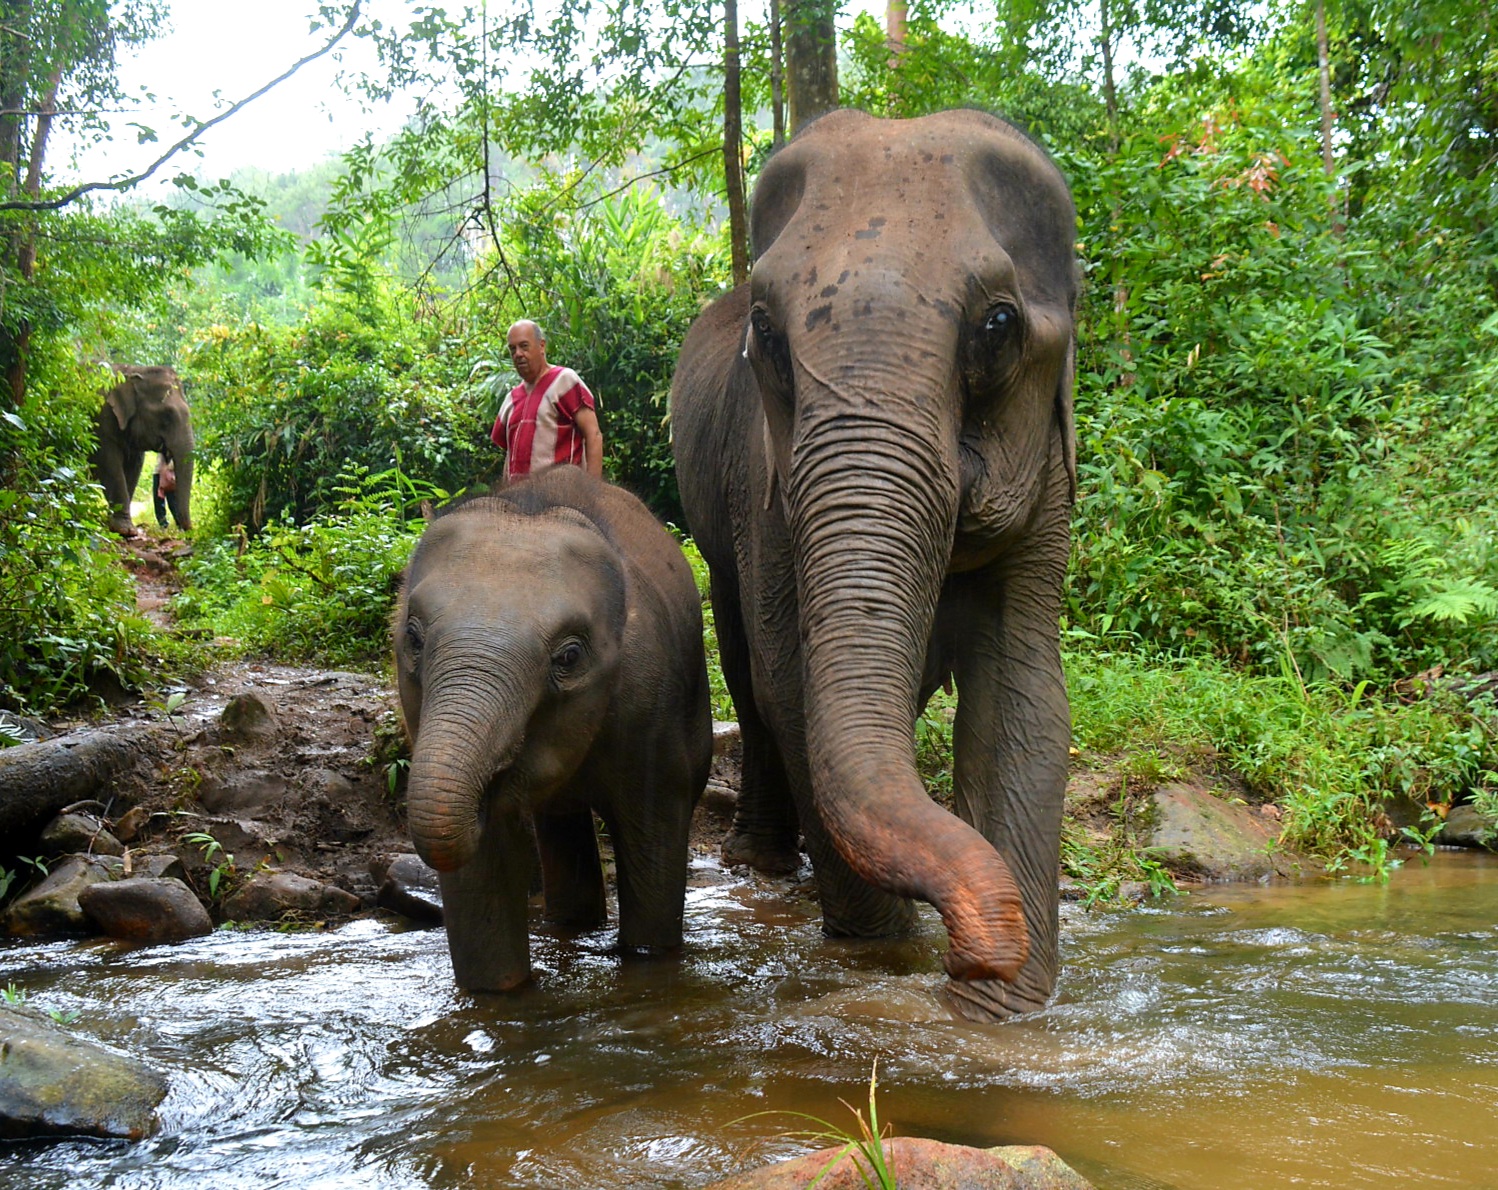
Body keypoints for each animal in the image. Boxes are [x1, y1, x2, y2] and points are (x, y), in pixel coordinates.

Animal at [91, 365, 193, 536]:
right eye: (167, 416)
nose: (188, 530)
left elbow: (134, 467)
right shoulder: (100, 417)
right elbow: (109, 463)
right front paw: (126, 530)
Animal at [393, 466, 713, 992]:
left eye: (569, 656)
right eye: (413, 638)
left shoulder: (651, 704)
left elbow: (653, 830)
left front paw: (649, 962)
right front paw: (498, 995)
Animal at [670, 109, 1078, 1021]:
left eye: (998, 327)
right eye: (767, 331)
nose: (969, 957)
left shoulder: (1048, 470)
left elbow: (1023, 689)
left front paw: (1001, 1018)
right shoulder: (764, 476)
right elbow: (789, 678)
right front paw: (883, 961)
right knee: (746, 671)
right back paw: (761, 862)